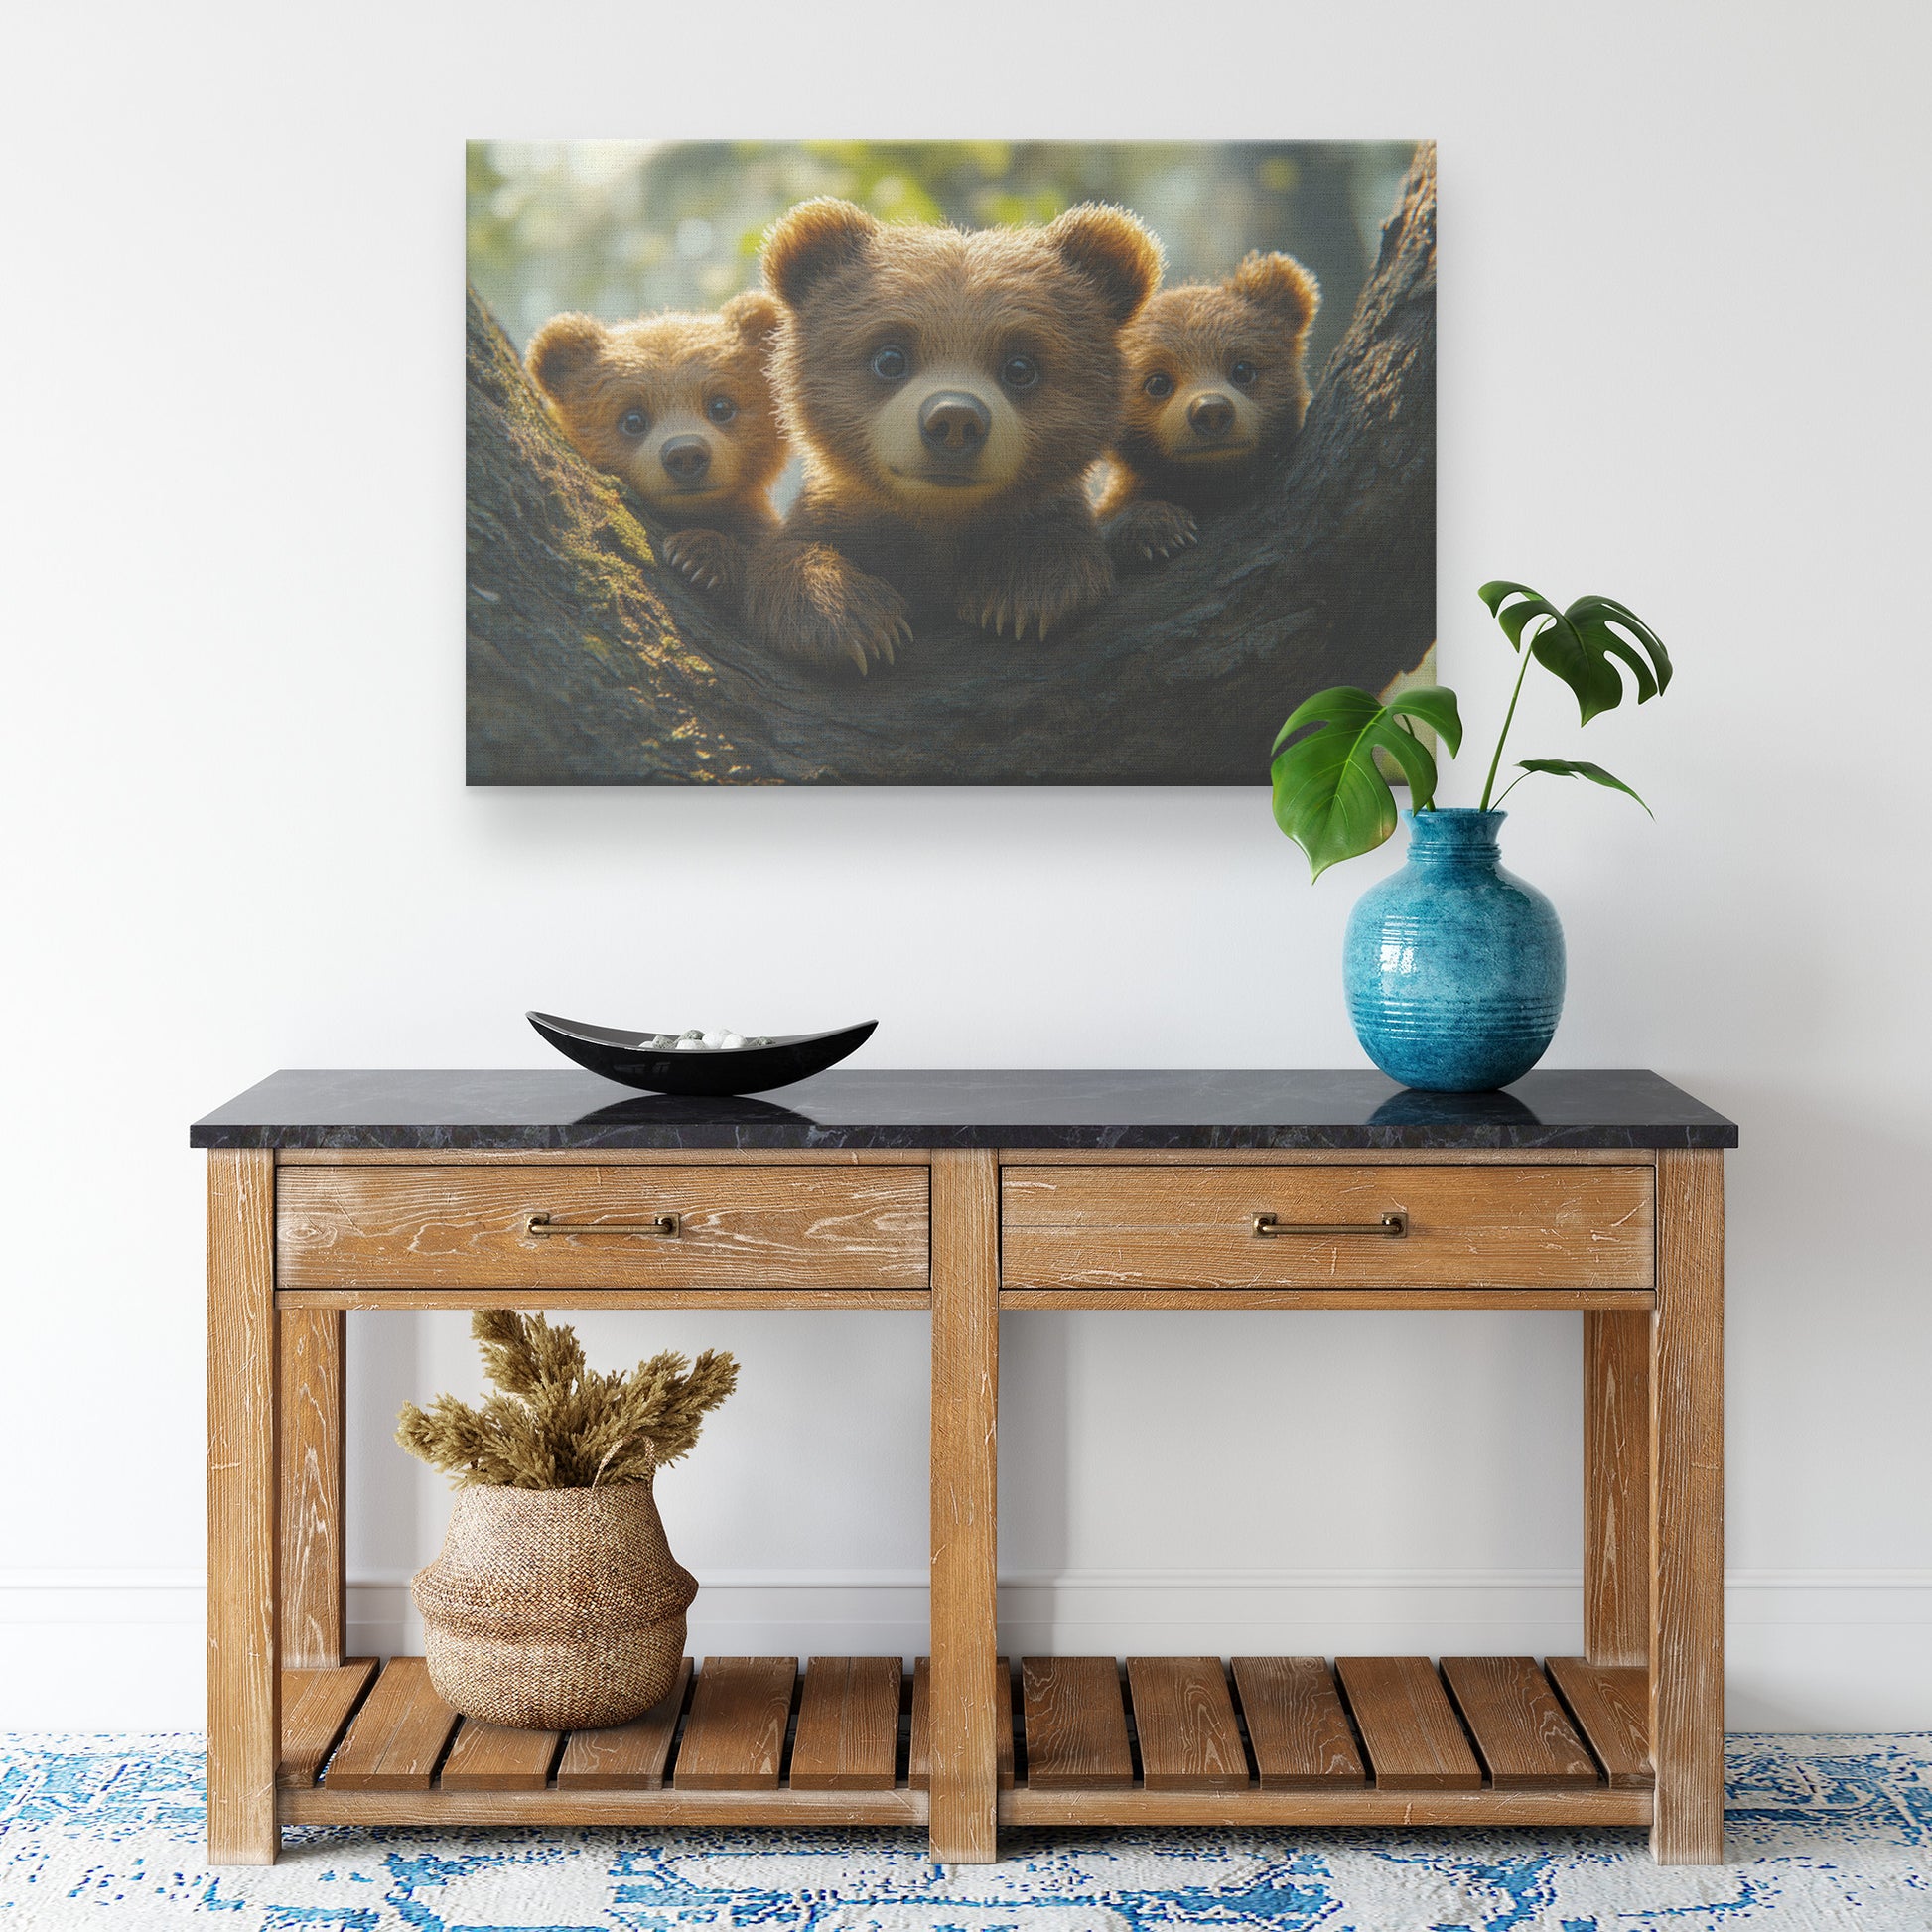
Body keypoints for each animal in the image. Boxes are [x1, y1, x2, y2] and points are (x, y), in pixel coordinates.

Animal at [742, 197, 1163, 674]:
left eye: (1020, 366)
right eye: (890, 357)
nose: (955, 420)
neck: (940, 523)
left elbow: (1055, 546)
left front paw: (1020, 593)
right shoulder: (841, 520)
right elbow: (792, 556)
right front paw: (852, 621)